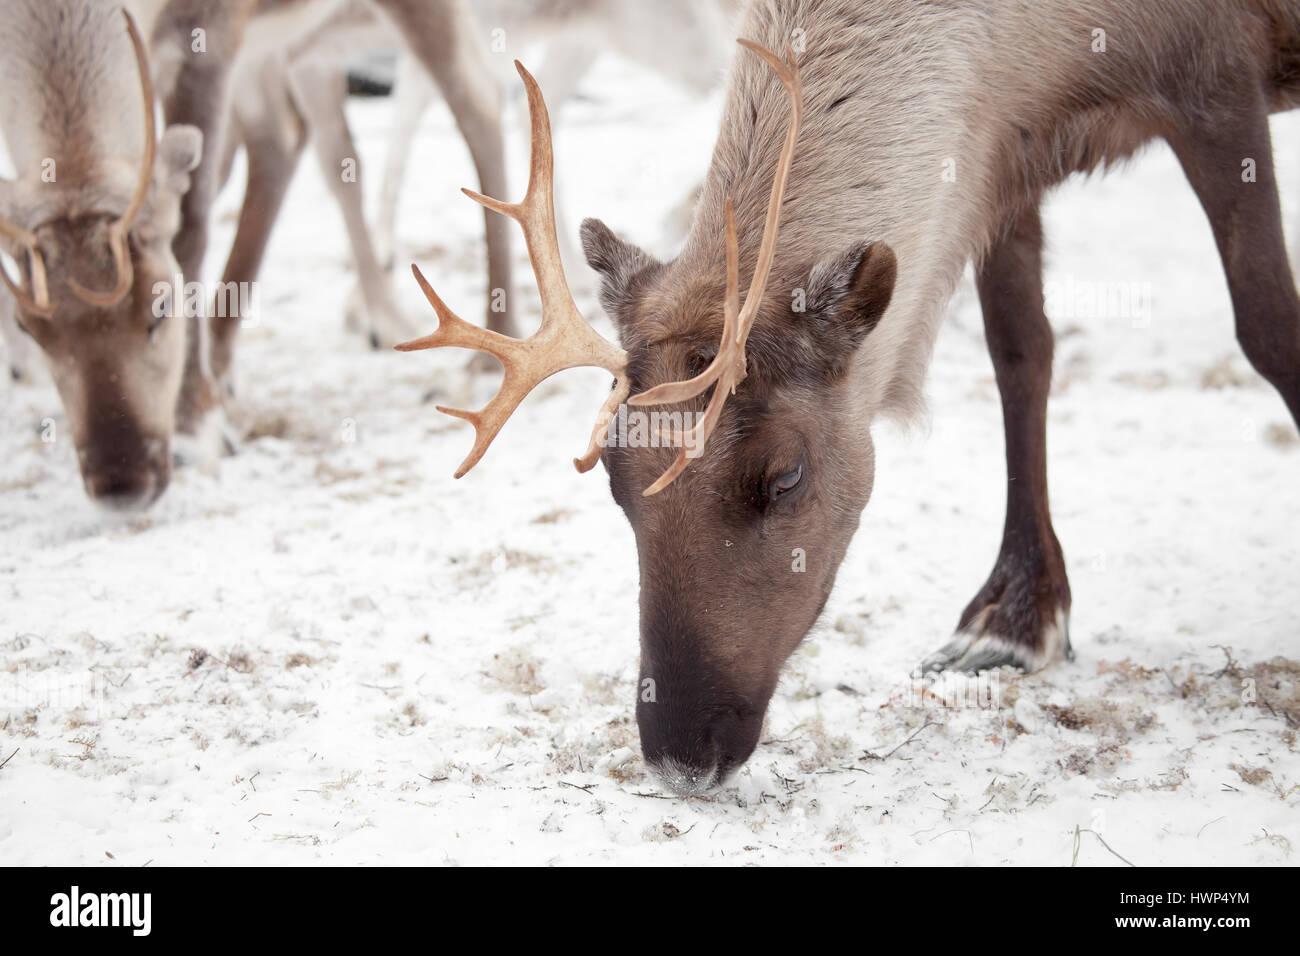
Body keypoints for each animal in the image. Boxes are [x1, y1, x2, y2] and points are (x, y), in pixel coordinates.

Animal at [398, 0, 1300, 796]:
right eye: (614, 477)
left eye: (785, 478)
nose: (678, 758)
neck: (1036, 47)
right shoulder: (998, 158)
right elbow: (1021, 353)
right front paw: (1017, 616)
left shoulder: (1217, 78)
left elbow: (1268, 329)